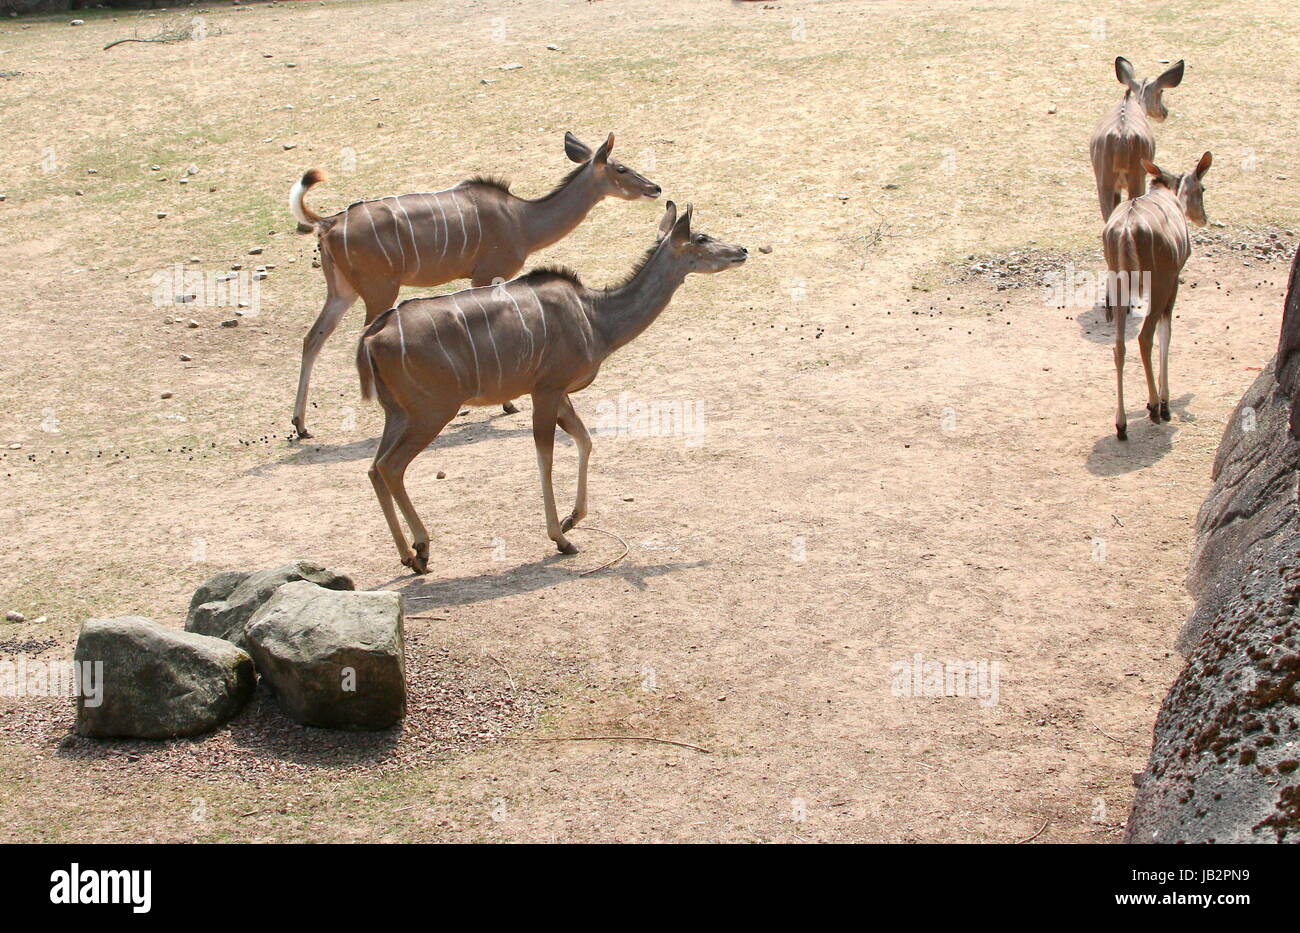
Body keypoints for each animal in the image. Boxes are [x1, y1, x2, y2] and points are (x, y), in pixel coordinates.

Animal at [288, 132, 661, 438]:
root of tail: (329, 224)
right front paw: (508, 404)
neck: (522, 220)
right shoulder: (490, 274)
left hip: (343, 291)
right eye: (621, 168)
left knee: (312, 338)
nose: (655, 188)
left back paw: (301, 425)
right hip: (380, 289)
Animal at [355, 201, 747, 574]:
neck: (595, 317)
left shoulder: (559, 392)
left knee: (374, 468)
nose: (741, 250)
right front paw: (561, 538)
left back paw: (407, 555)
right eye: (701, 238)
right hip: (432, 411)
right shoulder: (546, 389)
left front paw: (572, 520)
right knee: (390, 466)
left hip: (399, 413)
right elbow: (546, 458)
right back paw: (422, 549)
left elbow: (585, 440)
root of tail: (373, 336)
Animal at [1103, 151, 1211, 441]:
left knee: (1119, 345)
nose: (1204, 217)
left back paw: (1121, 424)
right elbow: (1167, 331)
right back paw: (1154, 407)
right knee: (1145, 336)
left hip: (1119, 282)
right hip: (1158, 282)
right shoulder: (1173, 280)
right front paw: (1165, 401)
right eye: (1202, 189)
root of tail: (1126, 231)